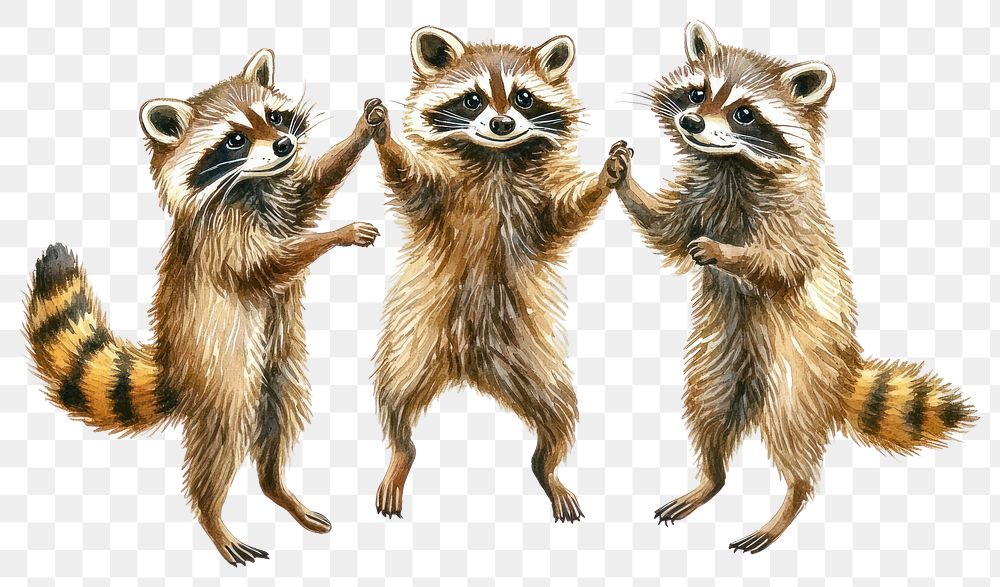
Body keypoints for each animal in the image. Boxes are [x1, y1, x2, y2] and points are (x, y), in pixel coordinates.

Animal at [24, 50, 384, 565]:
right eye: (234, 139)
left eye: (275, 117)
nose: (284, 145)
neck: (253, 186)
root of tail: (173, 362)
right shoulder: (220, 241)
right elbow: (269, 264)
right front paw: (334, 235)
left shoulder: (284, 195)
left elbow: (312, 188)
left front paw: (361, 131)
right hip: (222, 377)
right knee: (220, 447)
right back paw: (212, 516)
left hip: (281, 372)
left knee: (278, 424)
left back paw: (277, 488)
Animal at [365, 27, 628, 522]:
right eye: (472, 100)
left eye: (524, 98)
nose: (503, 125)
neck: (497, 159)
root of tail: (469, 364)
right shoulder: (439, 194)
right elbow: (408, 177)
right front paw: (385, 139)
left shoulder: (539, 205)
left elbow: (567, 212)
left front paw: (606, 175)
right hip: (413, 340)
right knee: (395, 398)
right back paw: (400, 452)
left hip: (535, 360)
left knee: (559, 415)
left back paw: (549, 469)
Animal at [607, 22, 976, 552]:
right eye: (697, 93)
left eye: (744, 113)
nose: (692, 124)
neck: (731, 165)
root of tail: (844, 369)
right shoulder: (698, 197)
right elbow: (664, 228)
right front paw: (623, 177)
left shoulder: (793, 219)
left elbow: (785, 267)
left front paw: (729, 254)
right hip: (715, 365)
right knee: (708, 413)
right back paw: (710, 479)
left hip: (799, 374)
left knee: (793, 439)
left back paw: (789, 503)